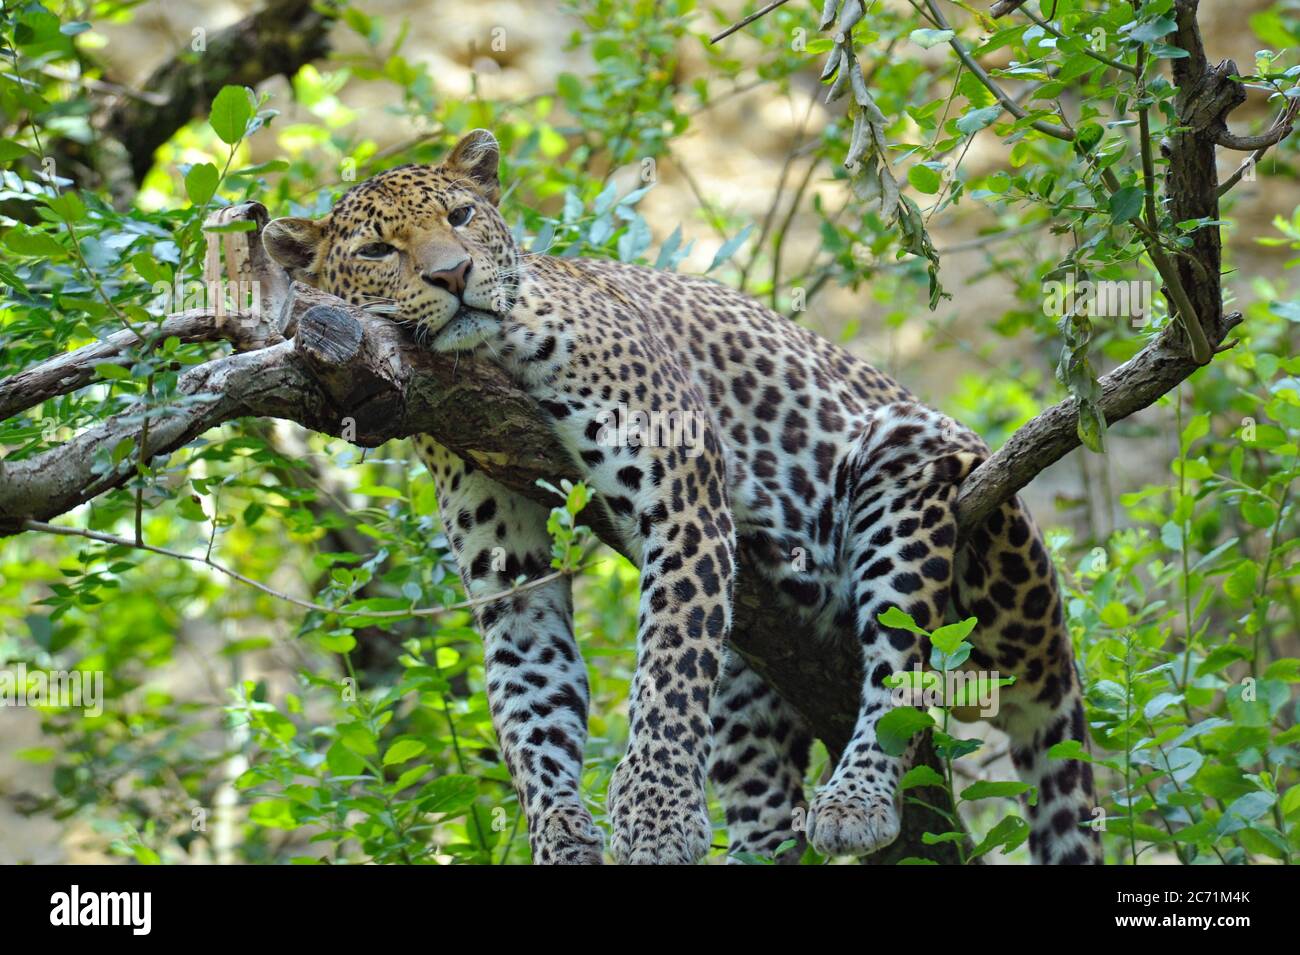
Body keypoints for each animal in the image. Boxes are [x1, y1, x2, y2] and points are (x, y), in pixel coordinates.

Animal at [262, 129, 1103, 865]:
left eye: (461, 216)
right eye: (378, 251)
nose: (451, 275)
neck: (485, 368)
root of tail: (1056, 632)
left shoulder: (682, 490)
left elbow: (667, 663)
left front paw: (654, 815)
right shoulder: (511, 575)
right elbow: (531, 707)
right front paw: (560, 832)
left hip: (924, 470)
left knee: (904, 670)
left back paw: (856, 797)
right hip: (749, 685)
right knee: (766, 800)